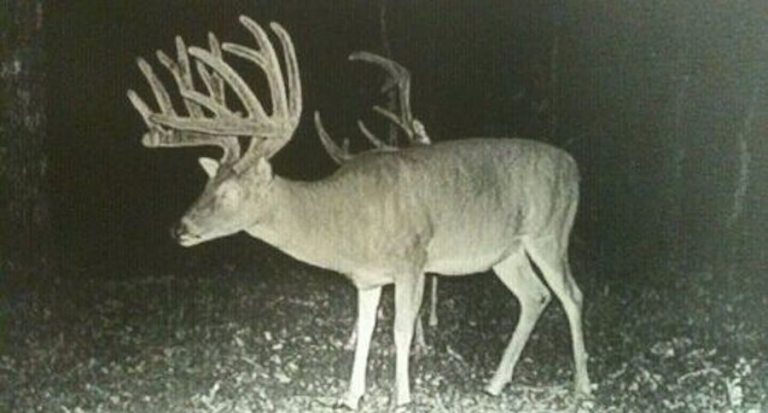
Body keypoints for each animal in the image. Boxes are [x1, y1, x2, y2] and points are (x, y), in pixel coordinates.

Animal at [127, 16, 591, 410]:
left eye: (227, 192)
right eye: (205, 184)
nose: (179, 228)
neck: (347, 218)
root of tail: (573, 164)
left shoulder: (412, 258)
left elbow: (401, 328)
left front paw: (402, 398)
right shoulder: (367, 278)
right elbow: (365, 329)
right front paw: (351, 396)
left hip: (550, 233)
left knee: (571, 294)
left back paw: (583, 384)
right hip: (505, 252)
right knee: (535, 296)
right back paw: (496, 382)